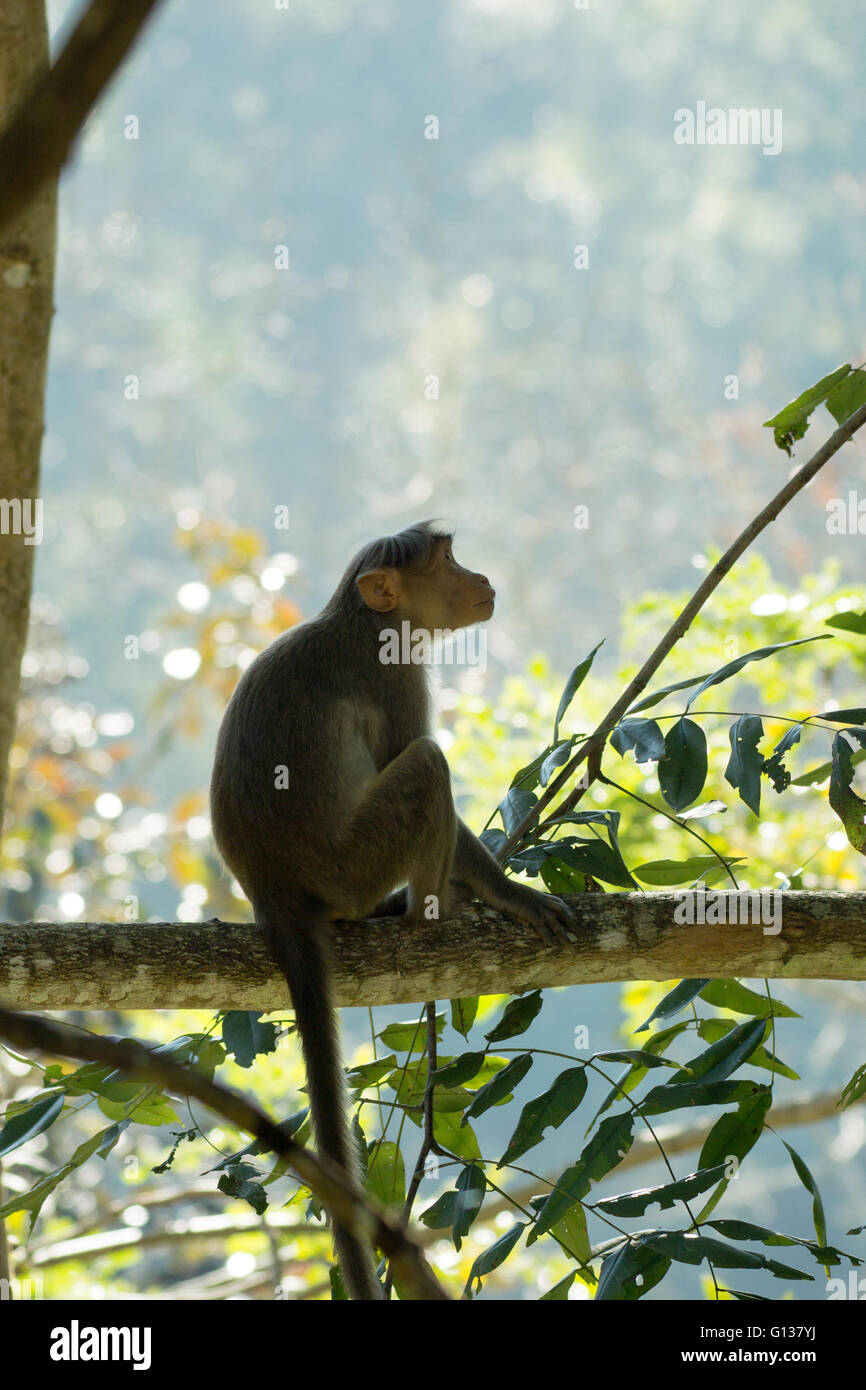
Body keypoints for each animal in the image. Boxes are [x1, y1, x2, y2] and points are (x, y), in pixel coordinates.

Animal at [209, 522, 575, 1300]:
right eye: (448, 561)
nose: (482, 579)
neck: (362, 620)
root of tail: (273, 895)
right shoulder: (397, 673)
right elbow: (411, 747)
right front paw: (507, 890)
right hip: (353, 864)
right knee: (426, 765)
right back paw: (428, 912)